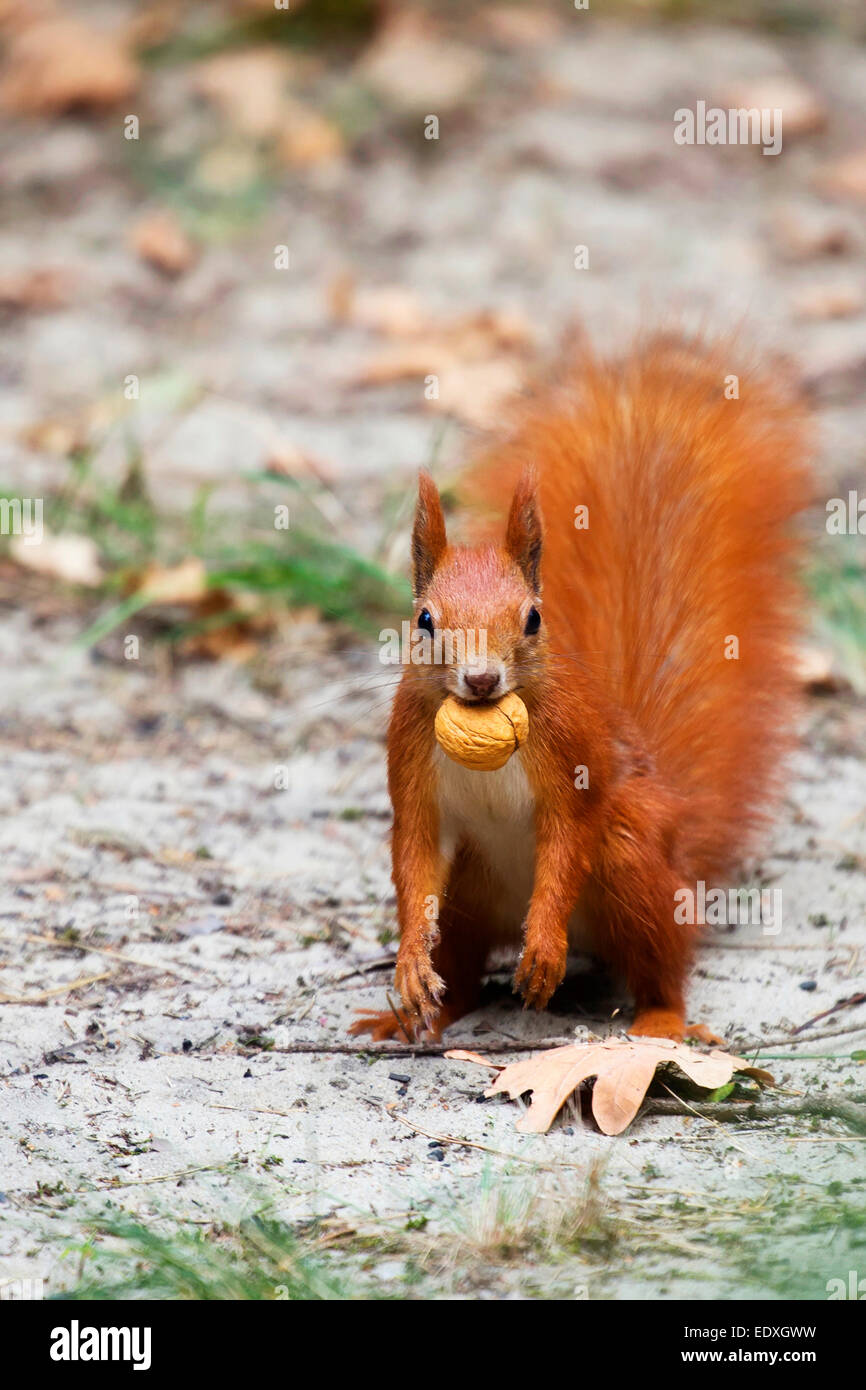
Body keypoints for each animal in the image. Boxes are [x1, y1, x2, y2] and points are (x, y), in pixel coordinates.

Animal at [351, 333, 812, 1044]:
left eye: (534, 619)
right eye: (425, 620)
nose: (481, 679)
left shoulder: (572, 754)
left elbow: (568, 838)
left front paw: (542, 946)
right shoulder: (409, 756)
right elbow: (415, 857)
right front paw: (408, 965)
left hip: (632, 863)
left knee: (659, 960)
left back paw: (658, 1019)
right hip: (470, 894)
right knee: (464, 965)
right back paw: (419, 1015)